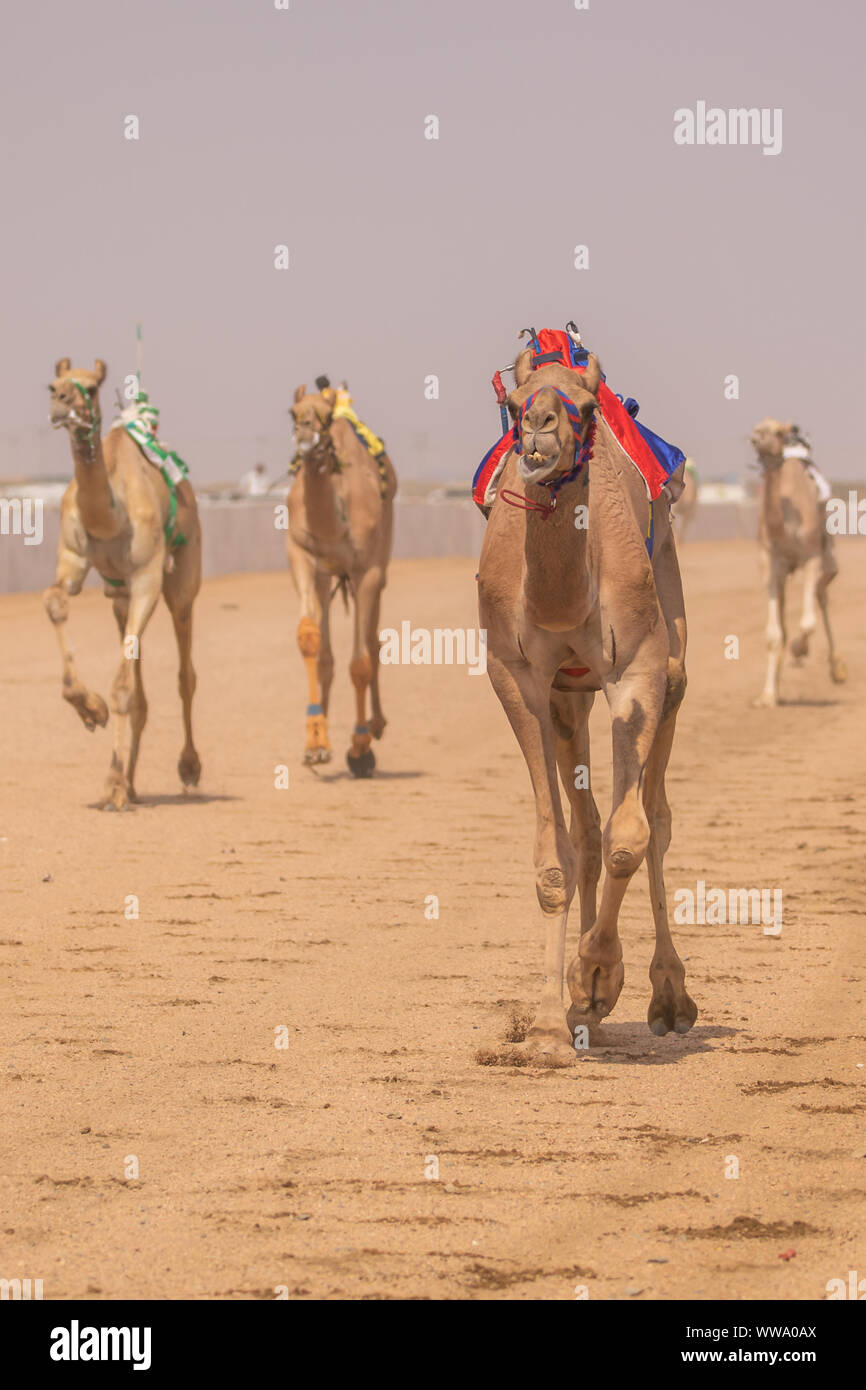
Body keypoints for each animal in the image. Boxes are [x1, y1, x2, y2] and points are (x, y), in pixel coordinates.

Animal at [44, 358, 202, 809]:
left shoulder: (147, 577)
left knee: (186, 675)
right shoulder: (74, 559)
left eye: (93, 386)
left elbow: (123, 690)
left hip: (182, 580)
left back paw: (188, 767)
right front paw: (89, 708)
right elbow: (54, 602)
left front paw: (112, 784)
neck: (109, 516)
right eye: (53, 384)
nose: (61, 400)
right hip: (119, 600)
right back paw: (133, 783)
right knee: (141, 689)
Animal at [287, 382, 396, 776]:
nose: (304, 431)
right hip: (327, 578)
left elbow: (360, 662)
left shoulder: (366, 571)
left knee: (373, 642)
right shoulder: (302, 556)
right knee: (329, 656)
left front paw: (360, 748)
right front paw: (315, 744)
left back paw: (375, 727)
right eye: (293, 411)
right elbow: (310, 641)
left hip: (380, 564)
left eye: (323, 414)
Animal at [477, 346, 696, 1066]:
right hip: (569, 701)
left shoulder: (639, 670)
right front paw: (550, 1026)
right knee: (588, 826)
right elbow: (558, 856)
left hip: (671, 657)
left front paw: (598, 976)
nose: (541, 427)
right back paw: (584, 1019)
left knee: (657, 818)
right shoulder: (516, 677)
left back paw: (667, 998)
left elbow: (635, 837)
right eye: (515, 404)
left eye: (587, 406)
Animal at [750, 419, 845, 707]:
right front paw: (767, 695)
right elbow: (773, 635)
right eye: (757, 427)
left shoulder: (811, 556)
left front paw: (798, 649)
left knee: (822, 593)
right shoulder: (771, 566)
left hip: (827, 553)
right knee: (785, 619)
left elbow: (808, 623)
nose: (756, 438)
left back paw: (837, 668)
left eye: (778, 432)